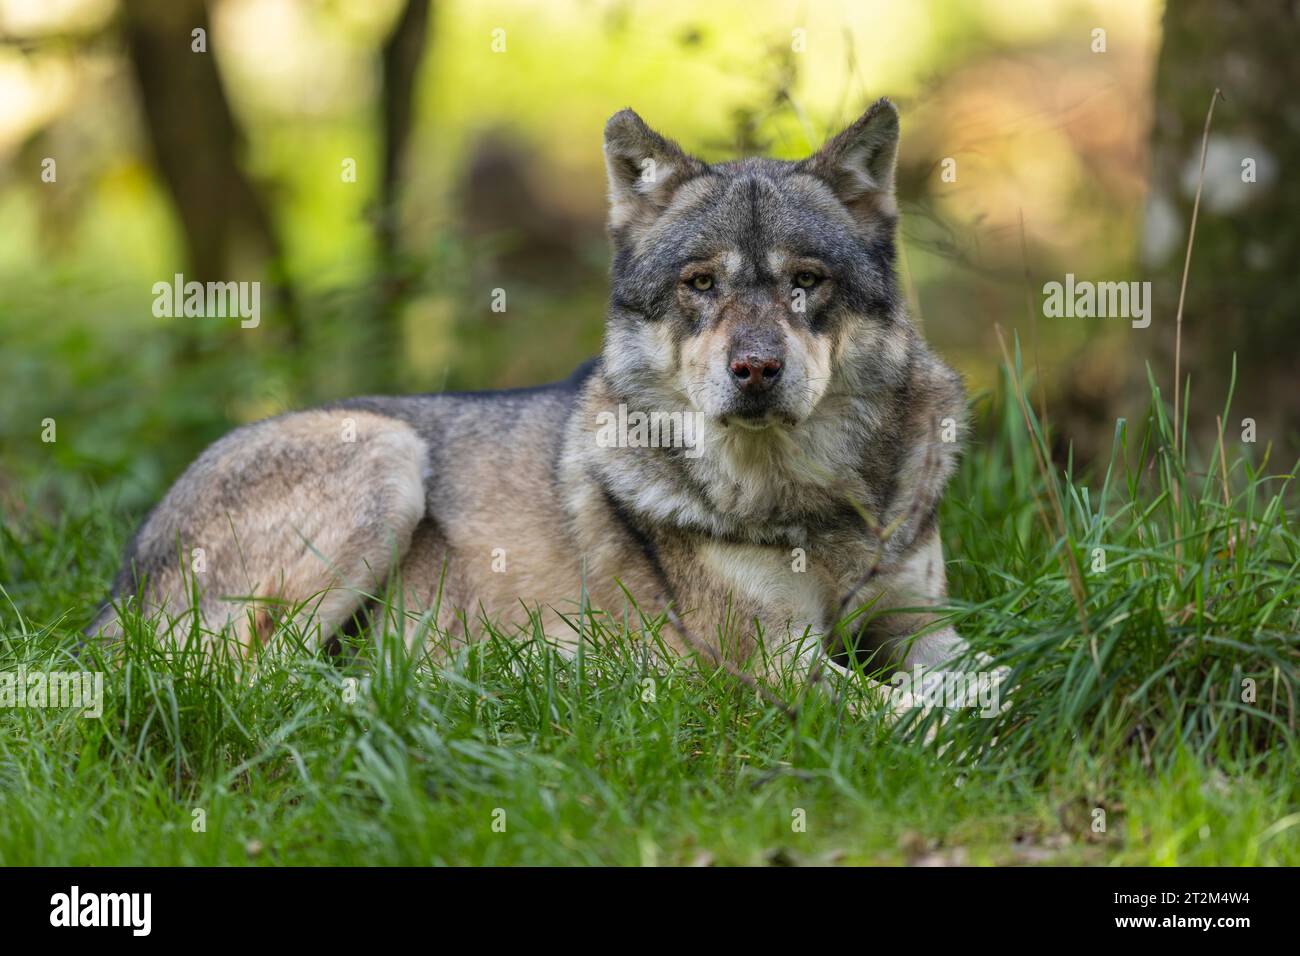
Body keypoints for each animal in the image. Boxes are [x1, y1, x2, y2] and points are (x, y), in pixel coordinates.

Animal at [91, 98, 970, 699]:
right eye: (700, 285)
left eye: (806, 282)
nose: (755, 368)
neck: (812, 501)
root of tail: (115, 592)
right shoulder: (776, 663)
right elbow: (920, 705)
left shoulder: (921, 622)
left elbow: (976, 669)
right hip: (386, 457)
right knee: (254, 678)